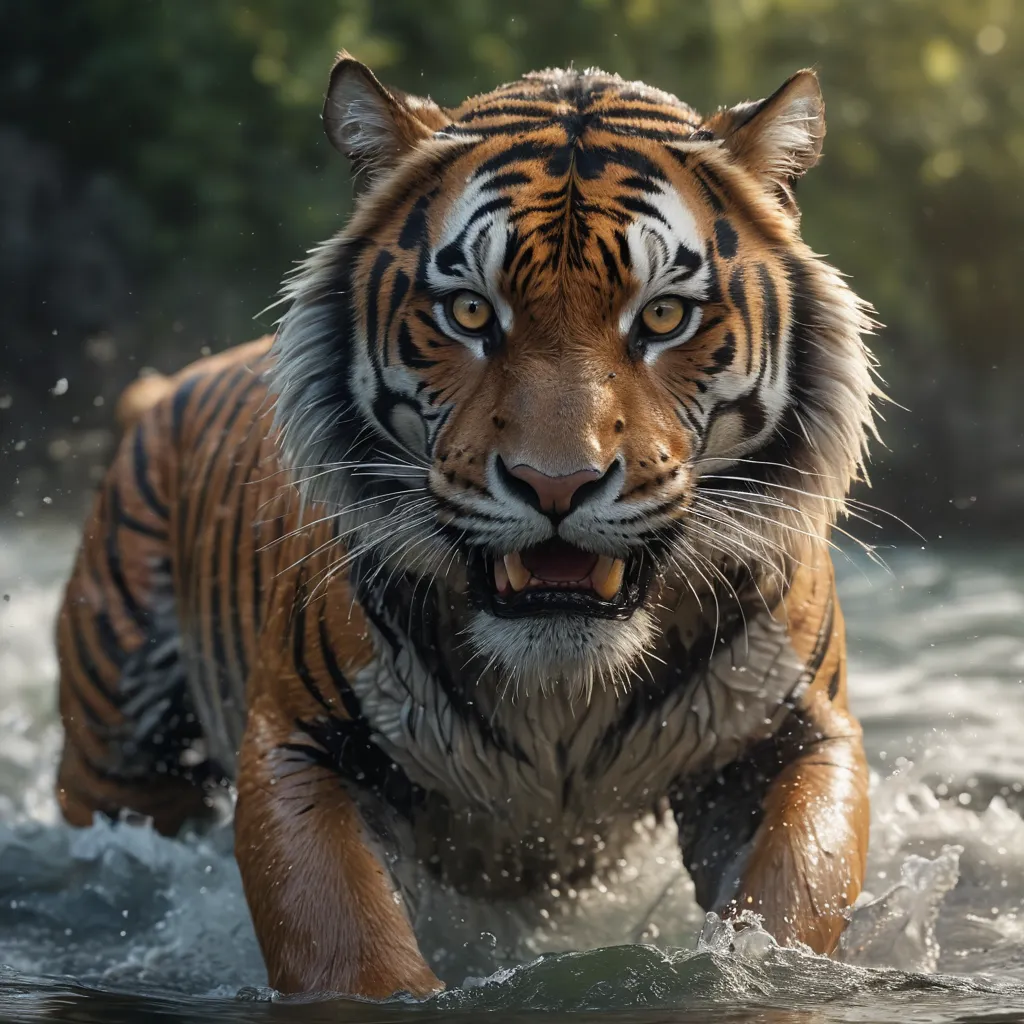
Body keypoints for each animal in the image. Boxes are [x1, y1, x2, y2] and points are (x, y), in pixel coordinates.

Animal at [55, 54, 879, 998]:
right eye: (472, 313)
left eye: (664, 316)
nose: (556, 483)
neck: (561, 694)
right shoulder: (302, 739)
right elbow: (339, 934)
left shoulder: (791, 736)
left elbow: (792, 900)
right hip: (116, 751)